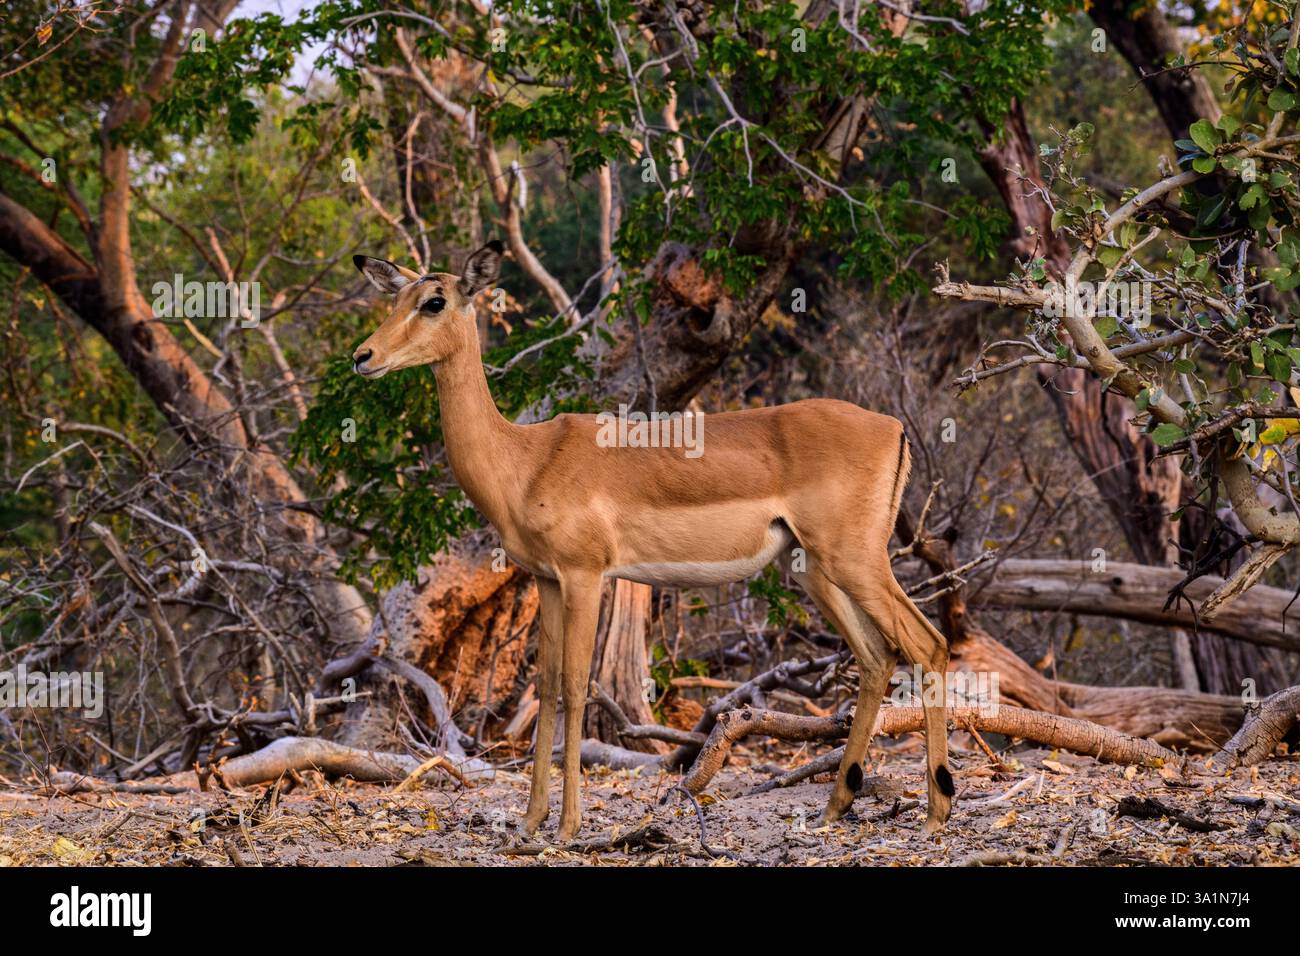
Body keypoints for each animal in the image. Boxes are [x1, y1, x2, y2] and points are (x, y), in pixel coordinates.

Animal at [351, 241, 955, 839]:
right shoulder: (548, 581)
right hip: (812, 568)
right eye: (395, 296)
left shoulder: (585, 576)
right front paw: (531, 821)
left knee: (928, 644)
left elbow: (576, 685)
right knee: (877, 657)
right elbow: (546, 686)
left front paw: (567, 826)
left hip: (855, 560)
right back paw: (836, 806)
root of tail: (892, 427)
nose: (362, 356)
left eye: (434, 300)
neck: (525, 460)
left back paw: (936, 811)